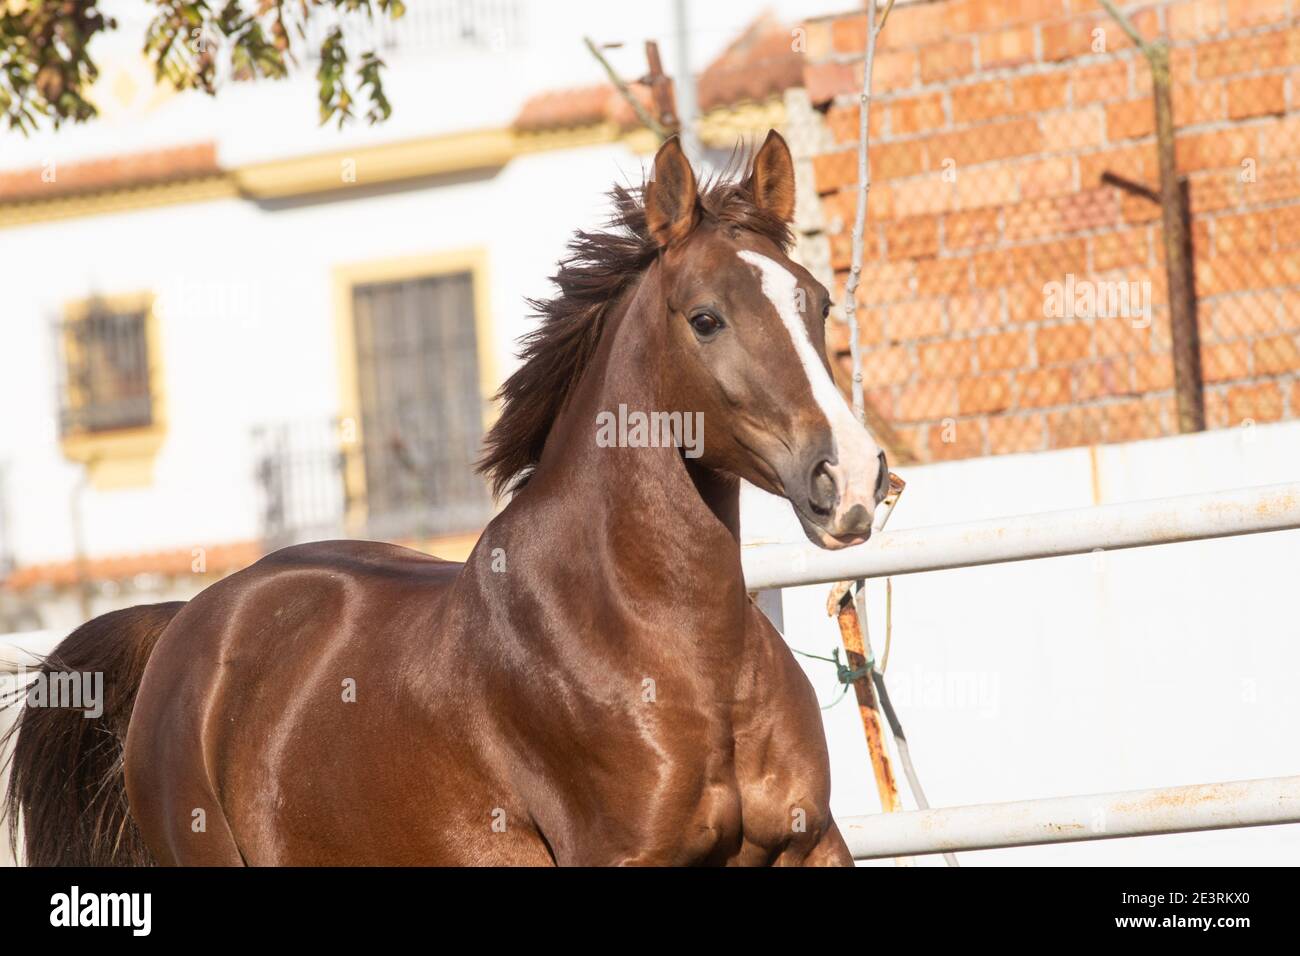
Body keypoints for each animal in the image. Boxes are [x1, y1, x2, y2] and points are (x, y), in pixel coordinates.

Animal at [5, 130, 887, 866]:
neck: (671, 650)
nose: (849, 478)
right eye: (705, 319)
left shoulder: (810, 842)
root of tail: (183, 627)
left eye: (818, 302)